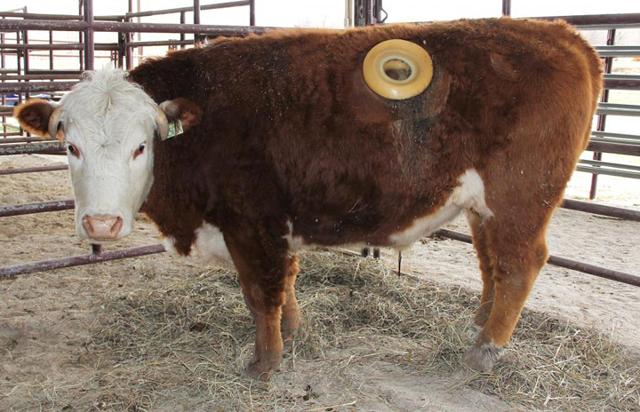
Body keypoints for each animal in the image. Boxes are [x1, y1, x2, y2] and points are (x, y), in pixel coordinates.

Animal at [14, 18, 602, 380]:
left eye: (141, 146)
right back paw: (479, 324)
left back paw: (486, 350)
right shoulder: (277, 224)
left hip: (521, 195)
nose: (102, 225)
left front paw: (265, 364)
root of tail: (561, 33)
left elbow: (261, 293)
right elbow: (288, 285)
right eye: (70, 146)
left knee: (521, 263)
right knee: (490, 262)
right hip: (484, 206)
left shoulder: (251, 225)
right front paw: (294, 335)